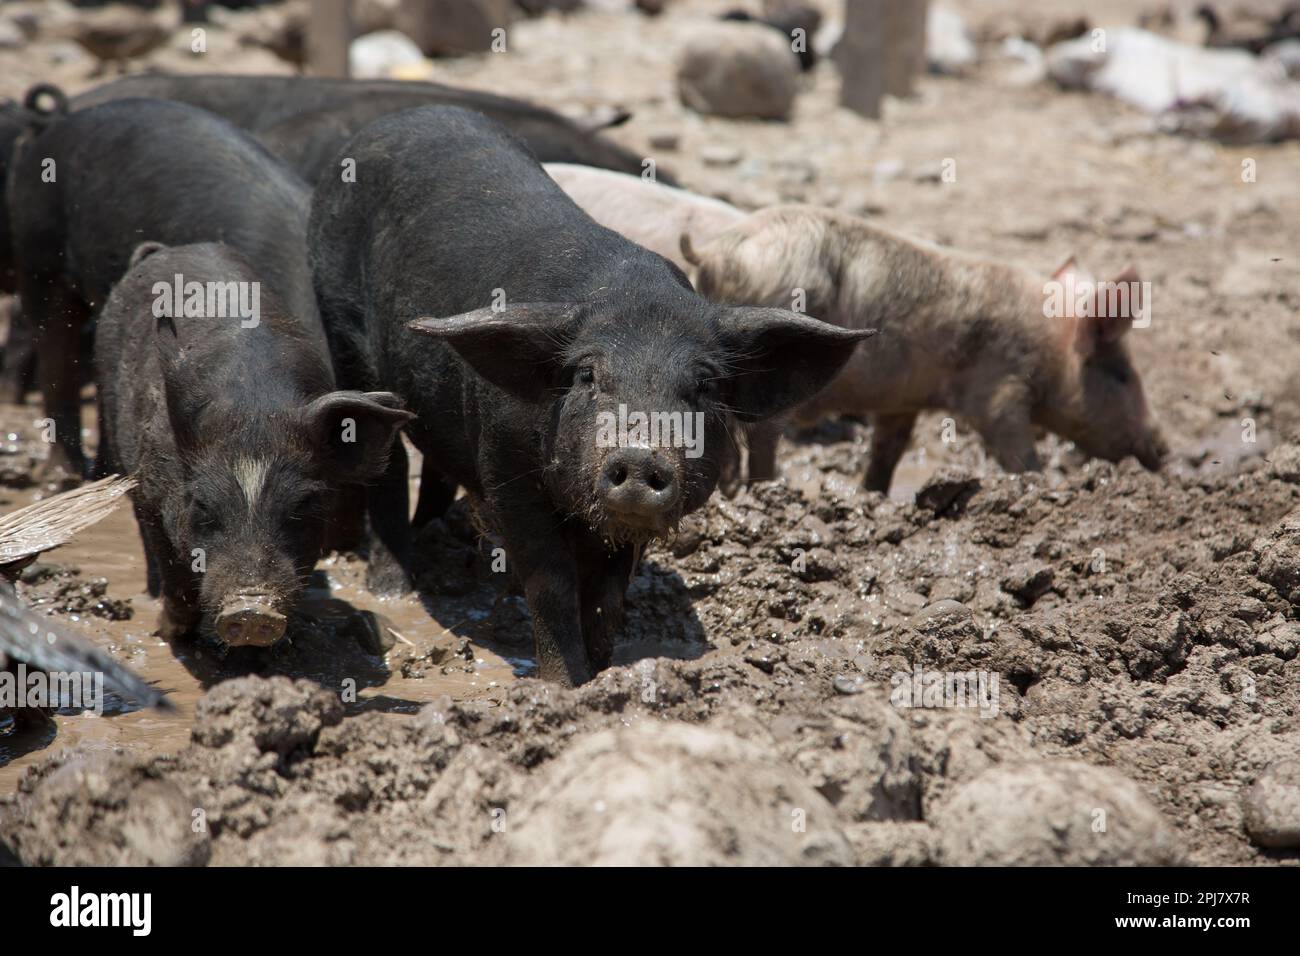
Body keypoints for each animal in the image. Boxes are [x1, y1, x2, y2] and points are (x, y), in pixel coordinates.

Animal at [95, 241, 413, 646]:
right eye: (202, 505)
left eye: (302, 505)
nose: (250, 610)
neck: (254, 408)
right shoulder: (149, 490)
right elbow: (173, 571)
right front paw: (169, 633)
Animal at [681, 204, 1167, 492]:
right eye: (1122, 374)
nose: (1164, 449)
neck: (1049, 346)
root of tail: (715, 253)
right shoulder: (998, 389)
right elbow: (1017, 447)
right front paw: (1038, 483)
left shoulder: (902, 402)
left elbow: (890, 448)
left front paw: (873, 494)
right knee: (762, 436)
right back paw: (768, 490)